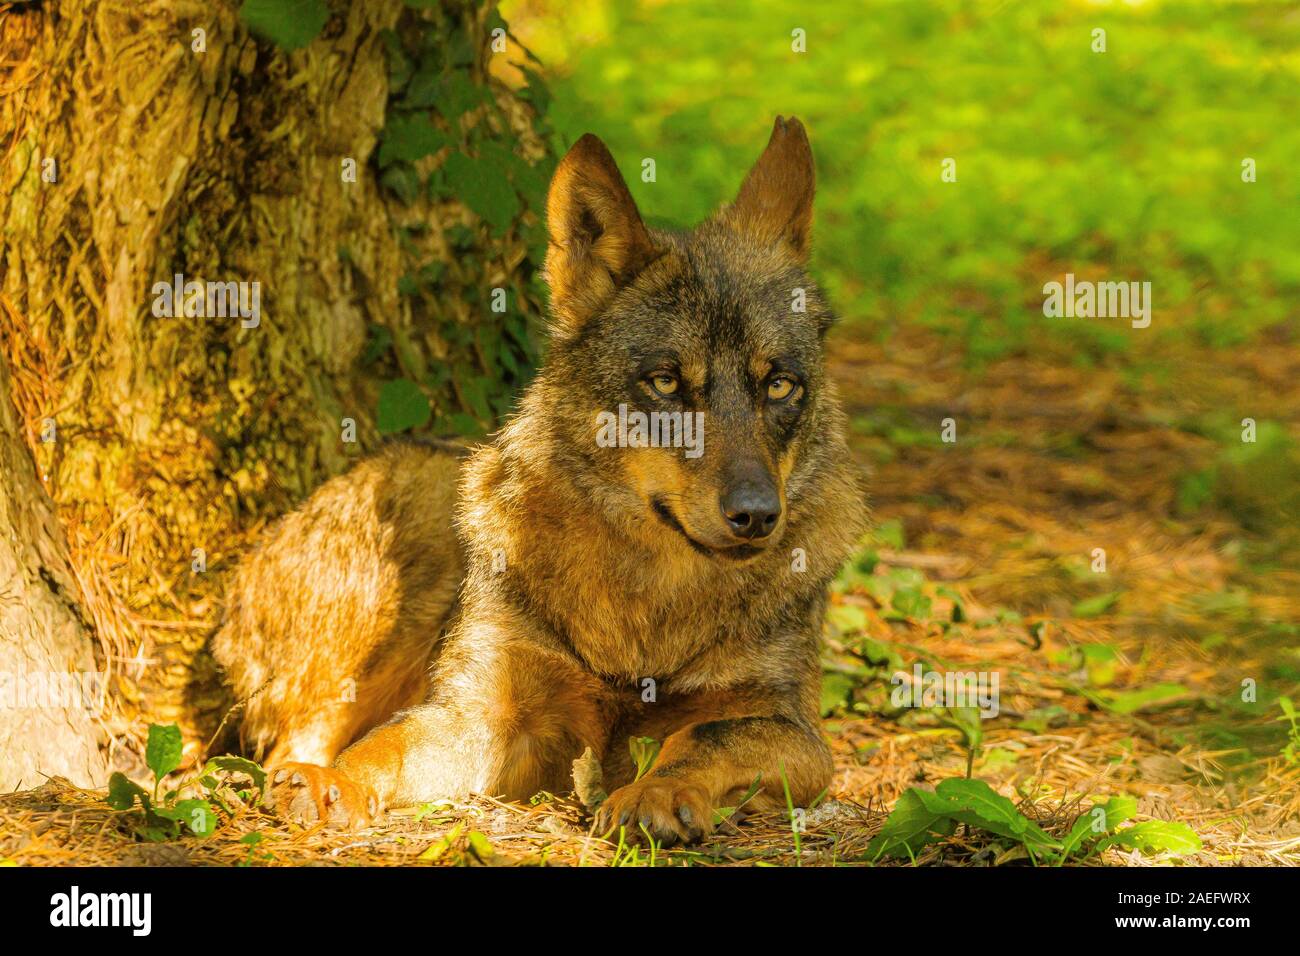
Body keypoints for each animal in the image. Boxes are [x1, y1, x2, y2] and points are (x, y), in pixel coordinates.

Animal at [212, 116, 867, 844]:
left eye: (780, 385)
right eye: (667, 383)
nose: (755, 514)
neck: (649, 603)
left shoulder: (797, 733)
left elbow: (704, 735)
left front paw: (655, 794)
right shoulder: (488, 718)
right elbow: (386, 744)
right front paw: (339, 784)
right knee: (288, 744)